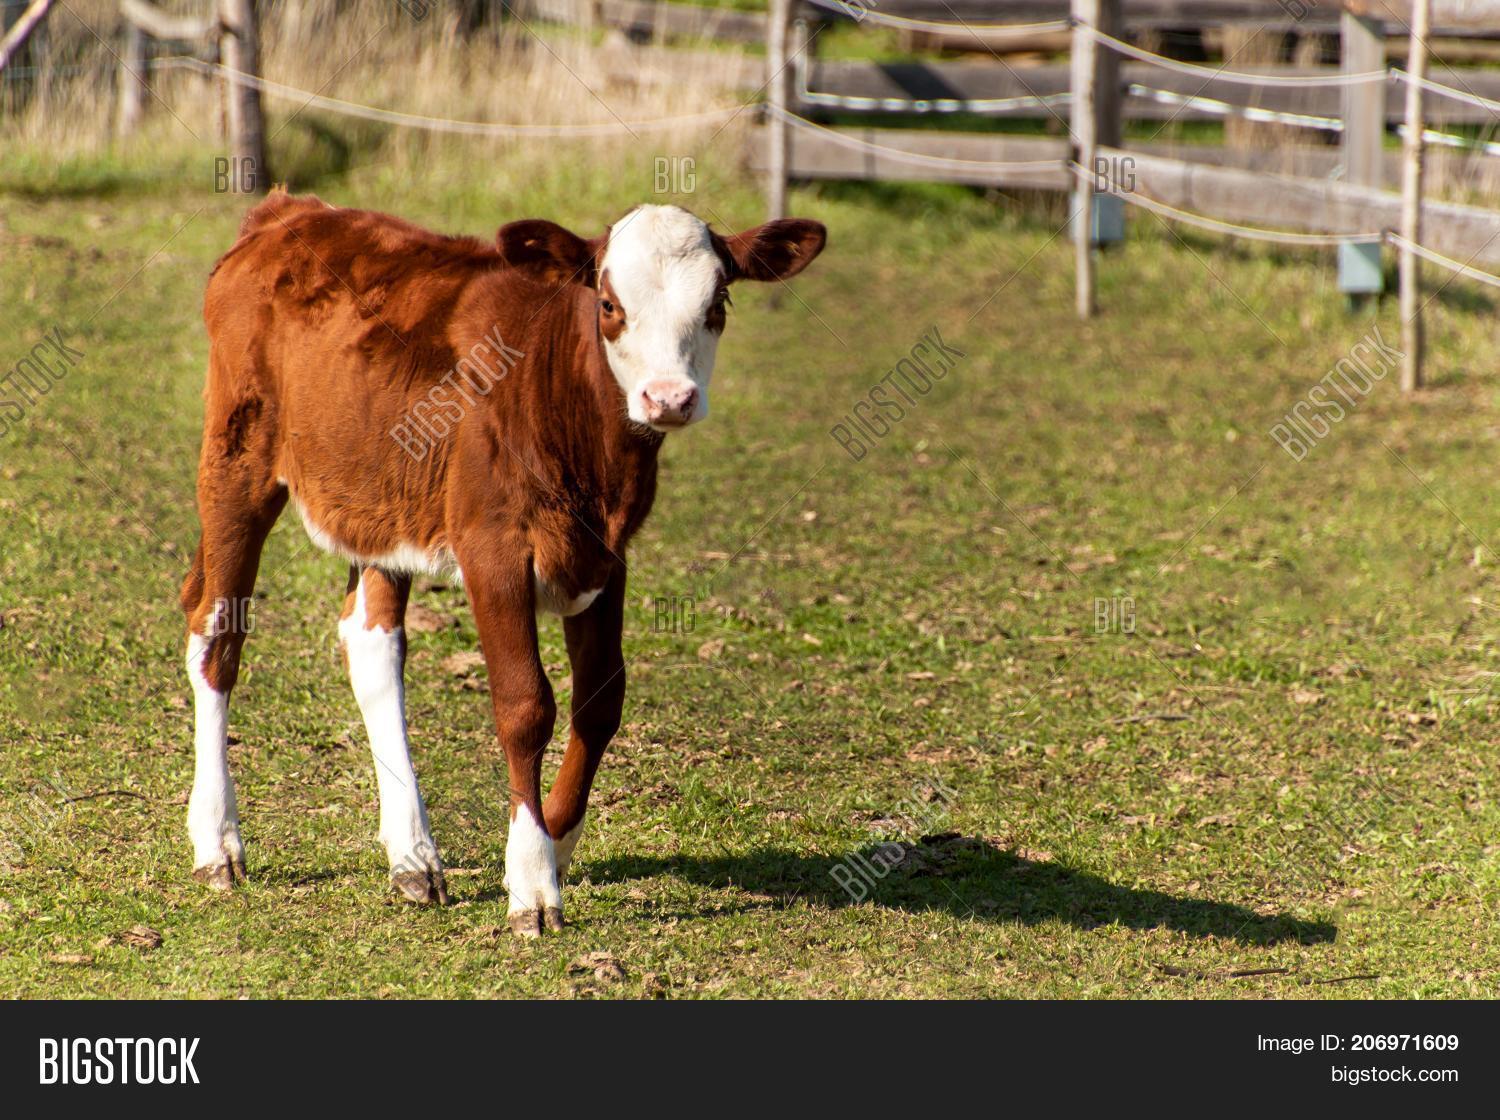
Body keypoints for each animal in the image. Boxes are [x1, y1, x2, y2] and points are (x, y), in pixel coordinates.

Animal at [180, 192, 826, 935]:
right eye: (610, 303)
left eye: (718, 300)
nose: (668, 398)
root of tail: (289, 210)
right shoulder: (493, 549)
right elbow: (526, 705)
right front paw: (533, 879)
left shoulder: (608, 556)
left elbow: (602, 698)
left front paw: (557, 838)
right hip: (237, 458)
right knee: (217, 633)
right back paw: (218, 843)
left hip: (382, 500)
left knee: (371, 645)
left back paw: (413, 856)